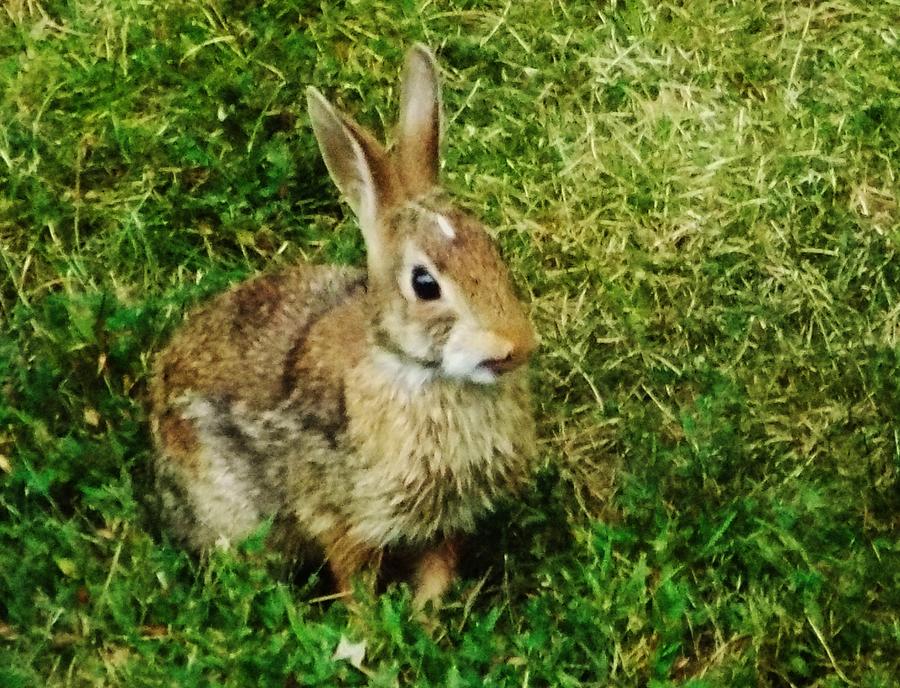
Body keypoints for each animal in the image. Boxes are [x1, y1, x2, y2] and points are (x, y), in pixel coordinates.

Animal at [149, 44, 537, 608]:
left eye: (494, 251)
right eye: (425, 283)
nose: (516, 346)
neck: (420, 372)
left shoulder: (445, 524)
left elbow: (437, 572)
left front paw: (426, 618)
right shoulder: (344, 518)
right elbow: (355, 580)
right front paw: (373, 627)